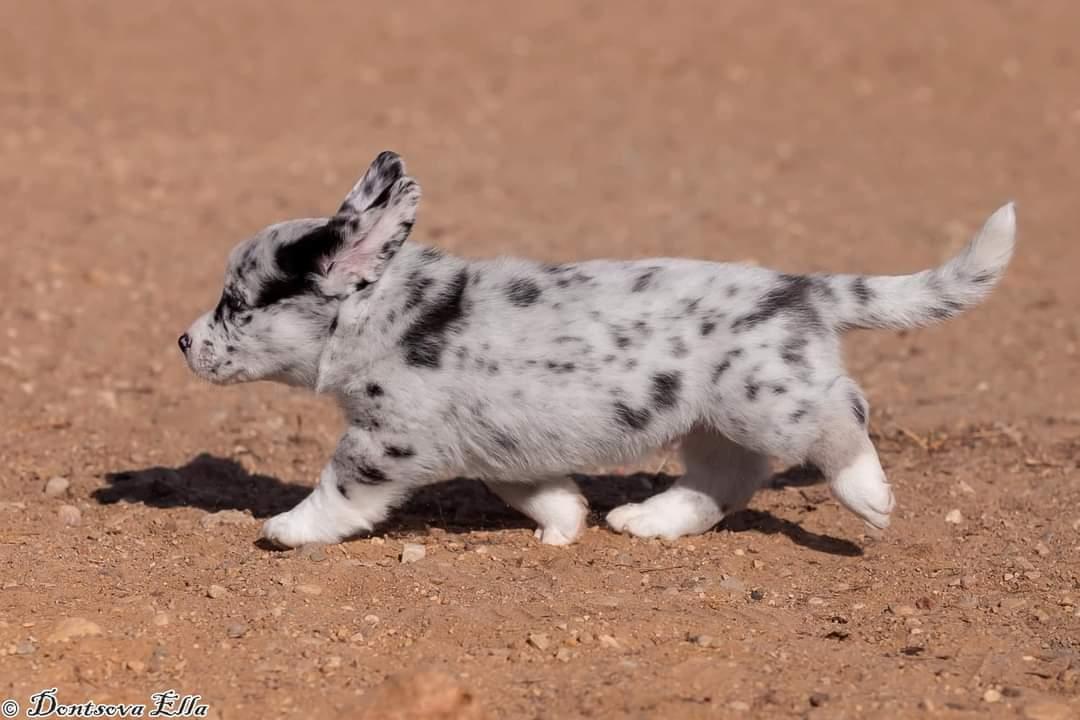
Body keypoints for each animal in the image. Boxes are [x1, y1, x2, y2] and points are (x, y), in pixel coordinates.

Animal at [181, 152, 1015, 546]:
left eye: (236, 305)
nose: (183, 341)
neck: (383, 310)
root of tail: (803, 287)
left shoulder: (385, 442)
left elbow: (337, 492)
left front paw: (288, 529)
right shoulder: (499, 449)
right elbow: (538, 491)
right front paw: (567, 524)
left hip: (768, 401)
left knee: (845, 413)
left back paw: (869, 494)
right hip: (715, 419)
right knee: (726, 478)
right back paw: (650, 519)